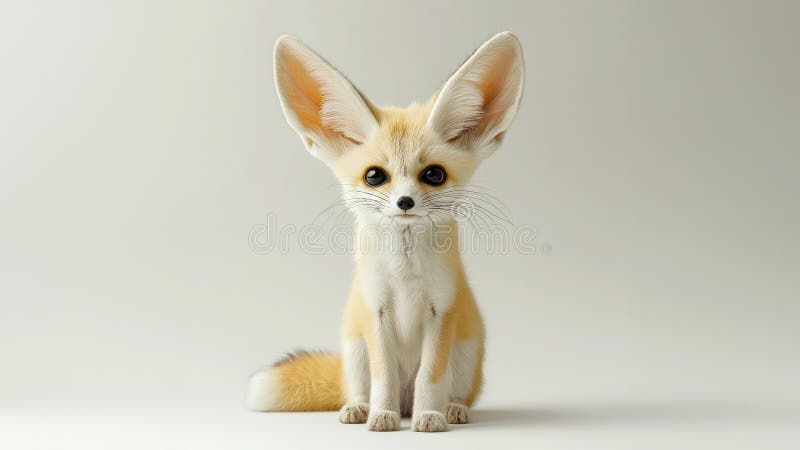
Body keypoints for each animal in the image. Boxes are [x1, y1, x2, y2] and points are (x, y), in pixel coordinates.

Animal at [247, 32, 524, 432]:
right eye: (375, 176)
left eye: (434, 174)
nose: (405, 202)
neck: (405, 275)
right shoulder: (375, 312)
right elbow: (385, 378)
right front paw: (382, 416)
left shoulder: (442, 312)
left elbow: (429, 378)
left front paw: (428, 417)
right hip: (355, 351)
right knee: (361, 389)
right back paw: (360, 408)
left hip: (466, 351)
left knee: (450, 391)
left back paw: (451, 409)